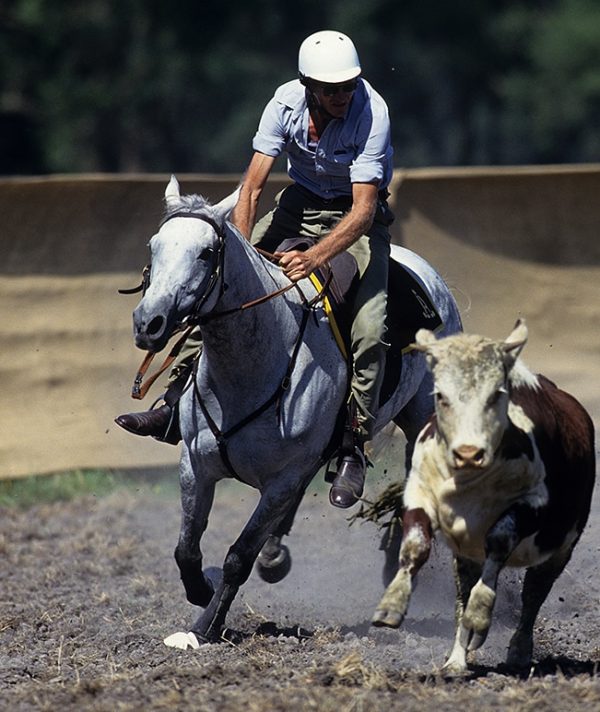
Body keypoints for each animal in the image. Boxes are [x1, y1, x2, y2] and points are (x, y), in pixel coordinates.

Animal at [127, 176, 462, 649]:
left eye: (207, 252)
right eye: (155, 246)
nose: (148, 322)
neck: (251, 365)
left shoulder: (281, 480)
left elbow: (238, 556)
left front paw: (205, 626)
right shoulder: (195, 463)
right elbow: (186, 548)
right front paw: (202, 591)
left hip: (419, 418)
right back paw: (275, 555)